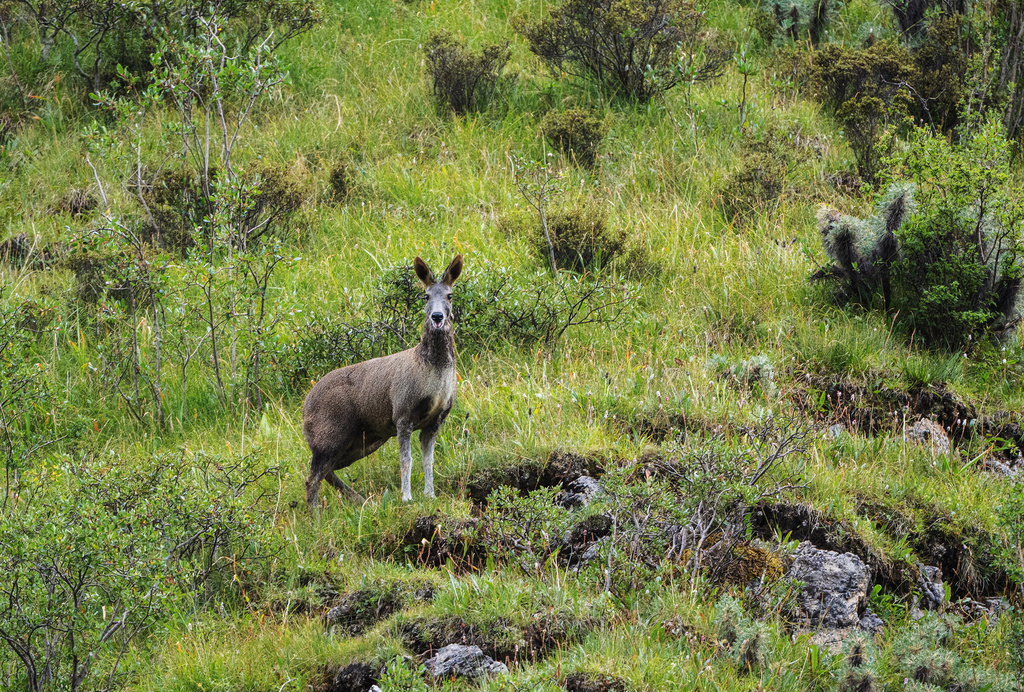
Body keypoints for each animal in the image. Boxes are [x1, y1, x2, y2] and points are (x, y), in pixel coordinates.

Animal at [302, 254, 463, 510]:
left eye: (449, 295)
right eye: (426, 295)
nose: (437, 317)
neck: (432, 372)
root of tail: (304, 408)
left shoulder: (435, 419)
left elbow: (428, 460)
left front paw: (430, 495)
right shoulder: (402, 412)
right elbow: (406, 459)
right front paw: (406, 497)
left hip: (359, 442)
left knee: (326, 472)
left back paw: (358, 499)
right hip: (329, 435)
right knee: (312, 478)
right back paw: (316, 515)